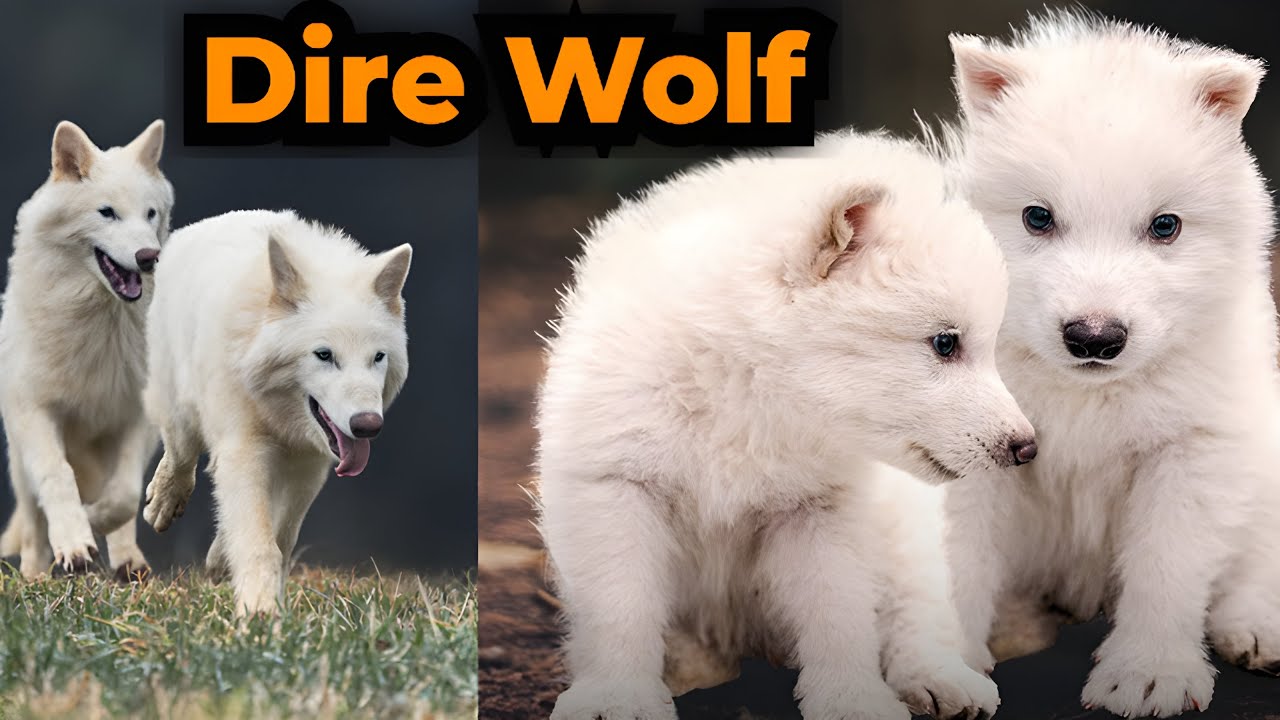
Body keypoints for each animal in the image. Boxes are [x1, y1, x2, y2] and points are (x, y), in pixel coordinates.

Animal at [0, 120, 172, 579]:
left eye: (150, 214)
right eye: (107, 212)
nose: (149, 257)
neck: (101, 324)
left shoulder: (137, 416)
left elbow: (126, 494)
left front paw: (94, 521)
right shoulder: (36, 411)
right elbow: (58, 477)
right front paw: (75, 544)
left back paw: (130, 564)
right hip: (19, 460)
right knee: (33, 523)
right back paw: (36, 574)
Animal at [140, 210, 412, 615]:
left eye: (377, 357)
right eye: (324, 354)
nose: (367, 425)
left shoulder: (308, 466)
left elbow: (281, 540)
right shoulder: (244, 448)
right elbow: (259, 543)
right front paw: (259, 614)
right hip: (181, 409)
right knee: (181, 455)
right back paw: (163, 500)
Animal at [537, 130, 1036, 720]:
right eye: (944, 343)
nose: (1026, 447)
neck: (748, 394)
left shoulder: (822, 507)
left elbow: (838, 612)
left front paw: (852, 700)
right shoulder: (615, 486)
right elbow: (621, 605)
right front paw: (618, 696)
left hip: (902, 528)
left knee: (918, 607)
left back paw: (940, 677)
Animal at [939, 12, 1280, 717]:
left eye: (1165, 226)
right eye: (1037, 217)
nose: (1093, 338)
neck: (1084, 394)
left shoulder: (1193, 448)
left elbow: (1167, 564)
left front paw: (1148, 675)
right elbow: (957, 558)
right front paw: (945, 668)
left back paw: (1257, 627)